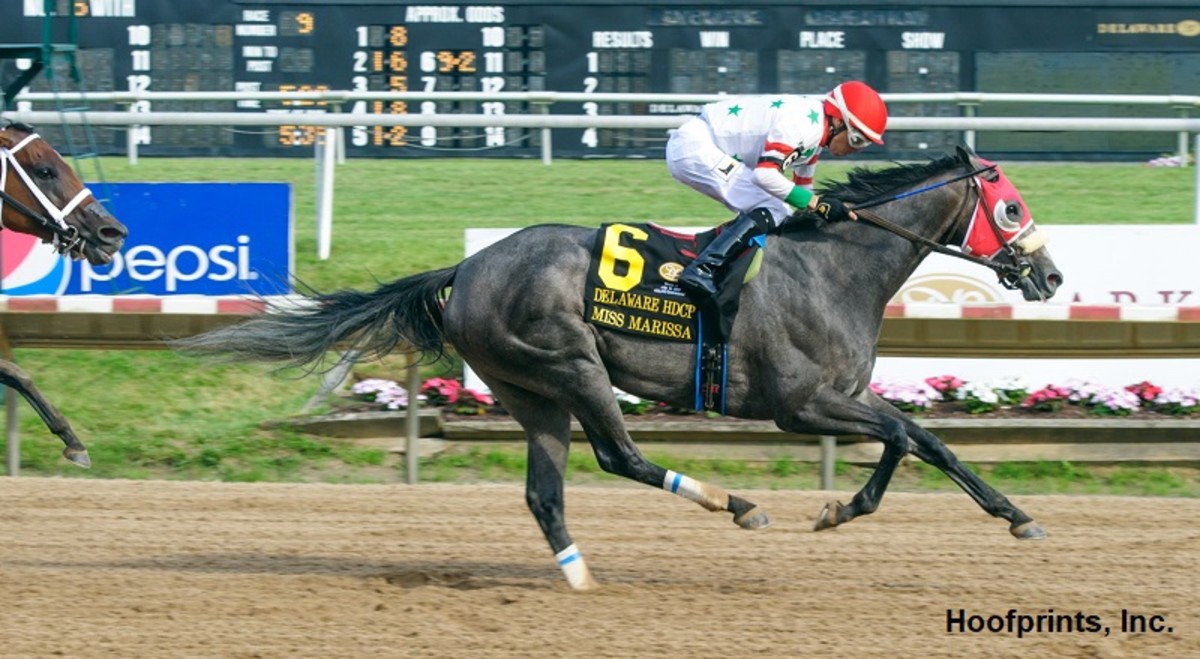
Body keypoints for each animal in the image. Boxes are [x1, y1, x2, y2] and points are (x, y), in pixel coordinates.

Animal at [181, 145, 1062, 590]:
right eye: (1012, 206)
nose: (1050, 276)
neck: (835, 263)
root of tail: (465, 267)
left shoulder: (842, 396)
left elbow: (918, 439)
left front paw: (998, 514)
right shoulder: (804, 402)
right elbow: (913, 437)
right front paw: (850, 510)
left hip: (527, 387)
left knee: (545, 489)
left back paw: (579, 576)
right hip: (568, 361)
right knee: (618, 453)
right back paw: (734, 503)